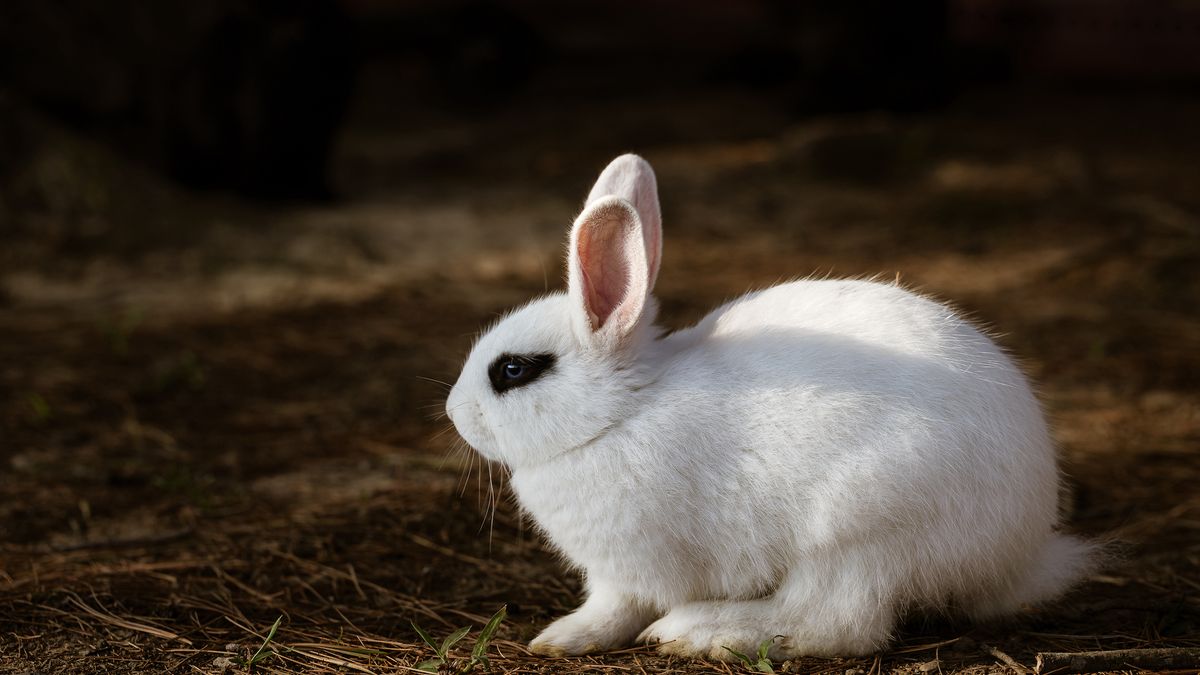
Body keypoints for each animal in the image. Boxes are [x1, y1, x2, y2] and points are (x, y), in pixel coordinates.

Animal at [445, 154, 1095, 660]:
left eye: (512, 370)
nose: (453, 413)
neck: (619, 416)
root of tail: (1019, 551)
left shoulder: (629, 570)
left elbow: (613, 609)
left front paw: (563, 638)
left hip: (861, 534)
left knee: (836, 625)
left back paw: (701, 632)